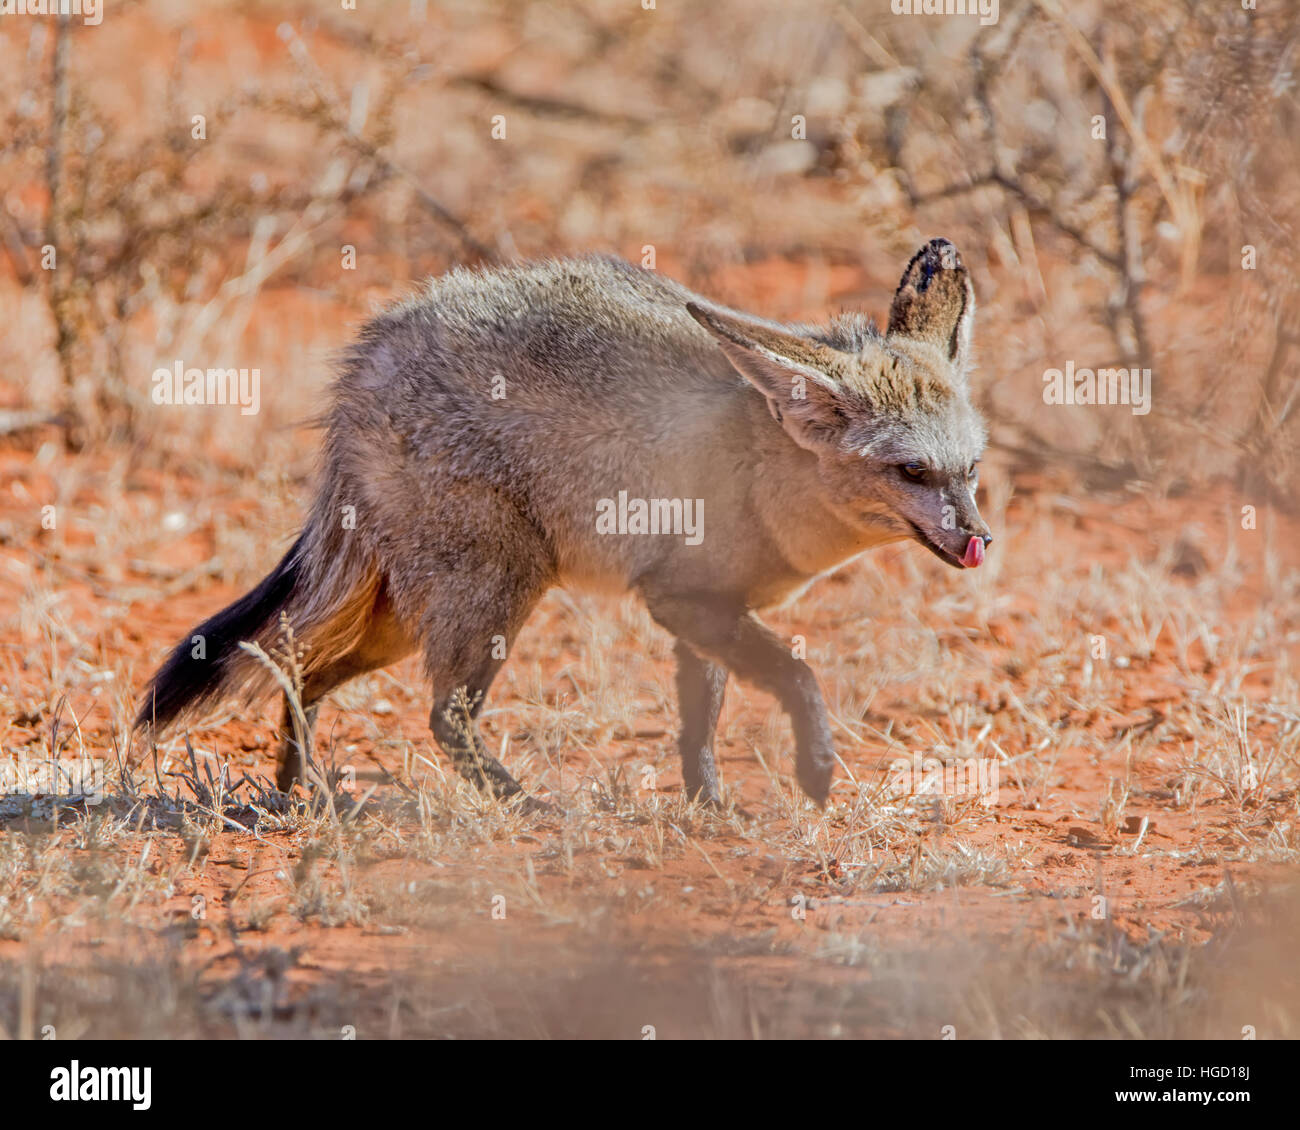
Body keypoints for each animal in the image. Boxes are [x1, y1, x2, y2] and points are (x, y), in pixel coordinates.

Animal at [135, 238, 992, 808]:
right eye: (912, 472)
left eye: (972, 468)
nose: (979, 541)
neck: (770, 464)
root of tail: (366, 360)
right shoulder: (681, 598)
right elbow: (797, 676)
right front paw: (813, 769)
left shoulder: (708, 610)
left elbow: (700, 722)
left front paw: (707, 808)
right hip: (495, 592)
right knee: (443, 718)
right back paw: (527, 808)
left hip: (401, 620)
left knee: (302, 672)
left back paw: (298, 798)